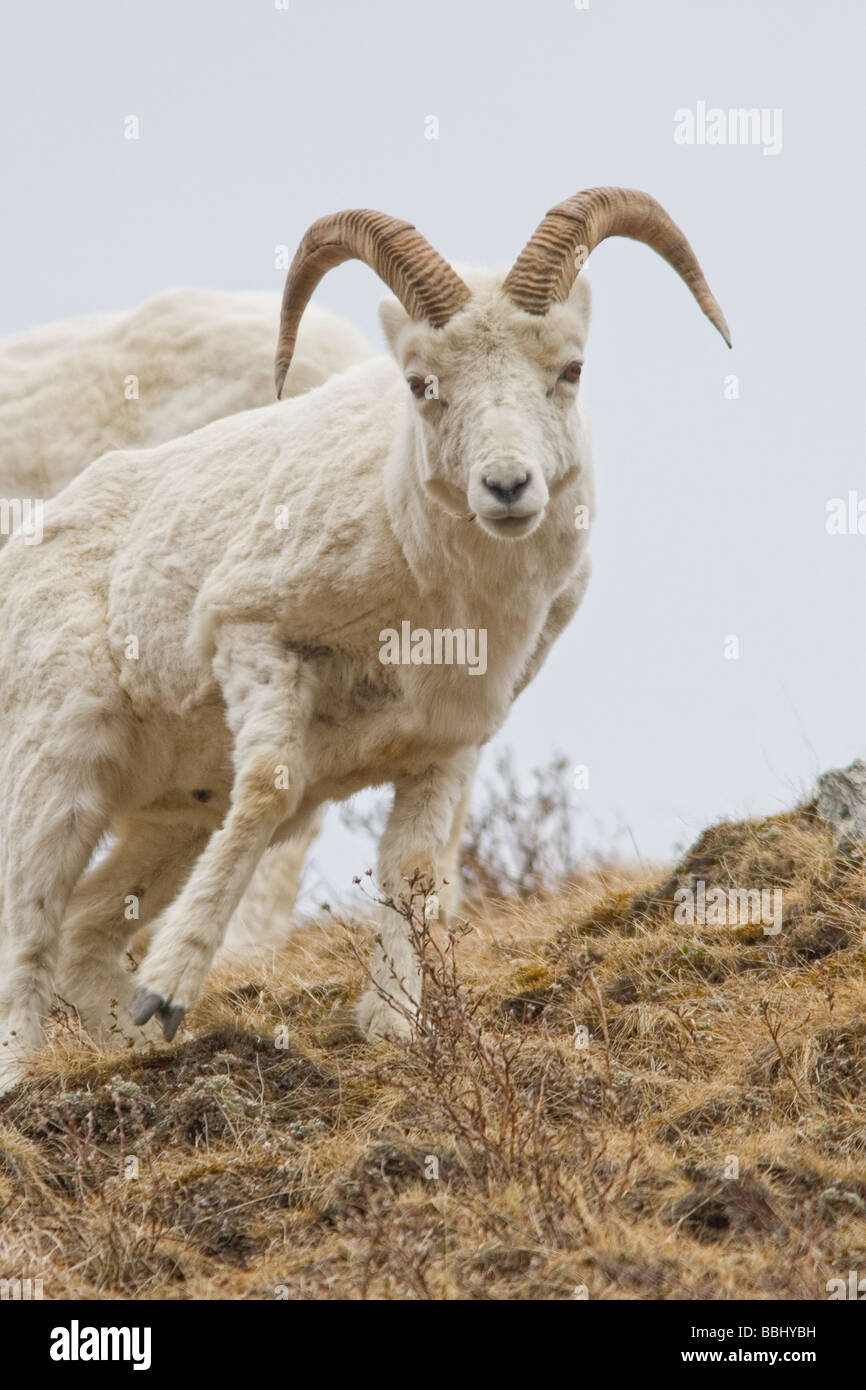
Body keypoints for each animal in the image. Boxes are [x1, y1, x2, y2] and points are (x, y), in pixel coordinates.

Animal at [0, 187, 729, 1087]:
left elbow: (412, 870)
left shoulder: (449, 740)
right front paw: (168, 991)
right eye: (422, 383)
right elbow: (271, 786)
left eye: (570, 370)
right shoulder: (250, 638)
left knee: (85, 930)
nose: (508, 486)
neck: (439, 605)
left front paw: (395, 1025)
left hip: (172, 815)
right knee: (30, 933)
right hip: (54, 772)